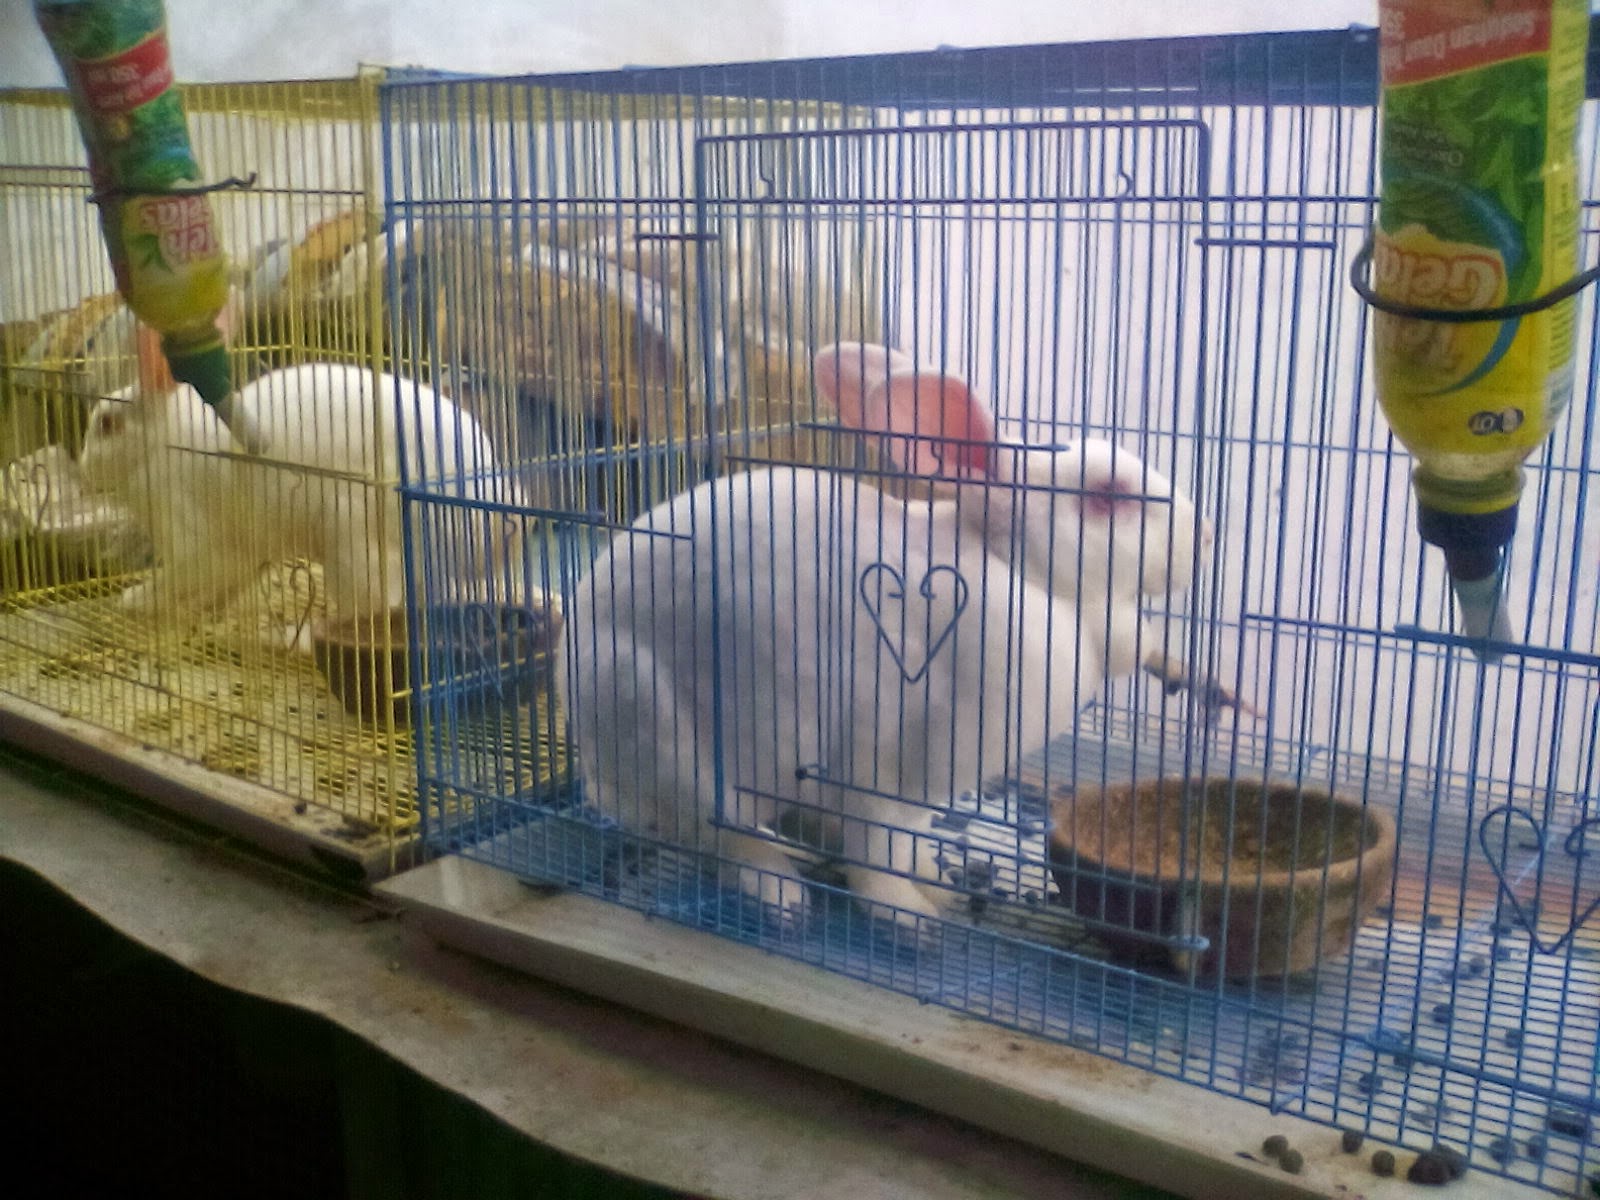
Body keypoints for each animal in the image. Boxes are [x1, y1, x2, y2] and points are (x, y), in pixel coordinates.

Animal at [79, 360, 529, 641]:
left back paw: (287, 638)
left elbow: (176, 580)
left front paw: (133, 602)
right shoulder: (244, 559)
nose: (82, 469)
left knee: (371, 611)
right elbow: (221, 590)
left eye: (107, 424)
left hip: (353, 538)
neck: (166, 445)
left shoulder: (198, 545)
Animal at [560, 341, 1209, 929]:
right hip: (667, 732)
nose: (1204, 534)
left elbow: (904, 844)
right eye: (1108, 497)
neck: (1029, 578)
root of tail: (593, 759)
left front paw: (934, 883)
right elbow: (875, 852)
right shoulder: (885, 763)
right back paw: (782, 895)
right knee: (723, 837)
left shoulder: (925, 792)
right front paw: (909, 917)